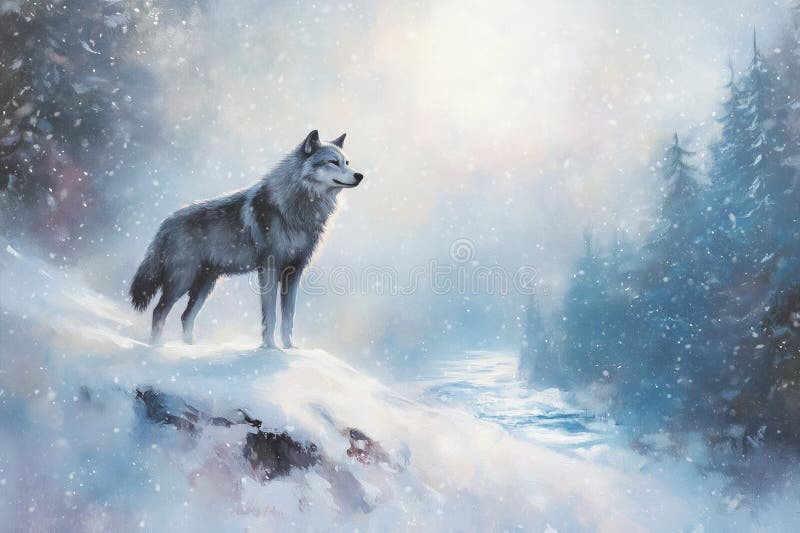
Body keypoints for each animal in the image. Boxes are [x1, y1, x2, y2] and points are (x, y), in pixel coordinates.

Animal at [129, 130, 363, 349]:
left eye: (347, 162)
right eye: (333, 162)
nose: (359, 175)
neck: (298, 207)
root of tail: (166, 222)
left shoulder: (294, 272)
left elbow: (289, 318)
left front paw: (289, 348)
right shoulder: (269, 269)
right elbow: (271, 316)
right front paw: (271, 348)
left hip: (206, 285)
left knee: (186, 316)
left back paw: (191, 348)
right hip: (182, 280)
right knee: (159, 312)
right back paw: (156, 347)